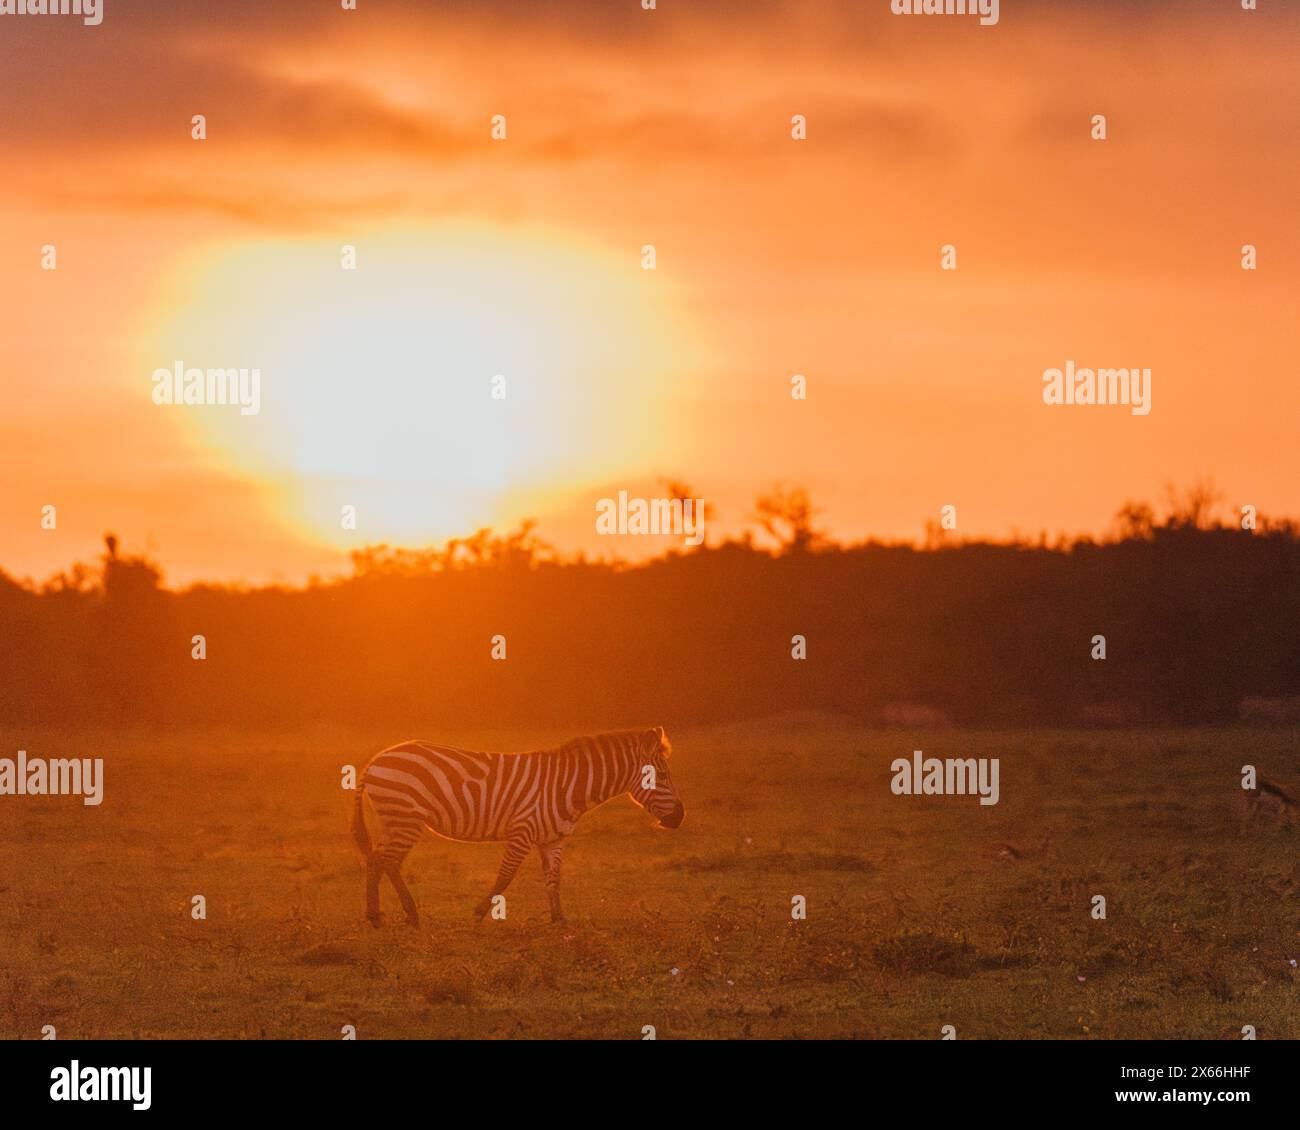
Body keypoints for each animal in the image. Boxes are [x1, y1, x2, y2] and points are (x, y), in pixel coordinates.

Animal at [350, 726, 684, 926]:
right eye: (663, 776)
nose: (679, 817)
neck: (567, 786)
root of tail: (374, 762)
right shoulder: (522, 832)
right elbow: (505, 877)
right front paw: (479, 913)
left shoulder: (553, 839)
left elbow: (553, 880)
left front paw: (559, 920)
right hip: (405, 819)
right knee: (388, 861)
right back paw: (407, 914)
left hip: (395, 820)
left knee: (377, 859)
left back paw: (376, 915)